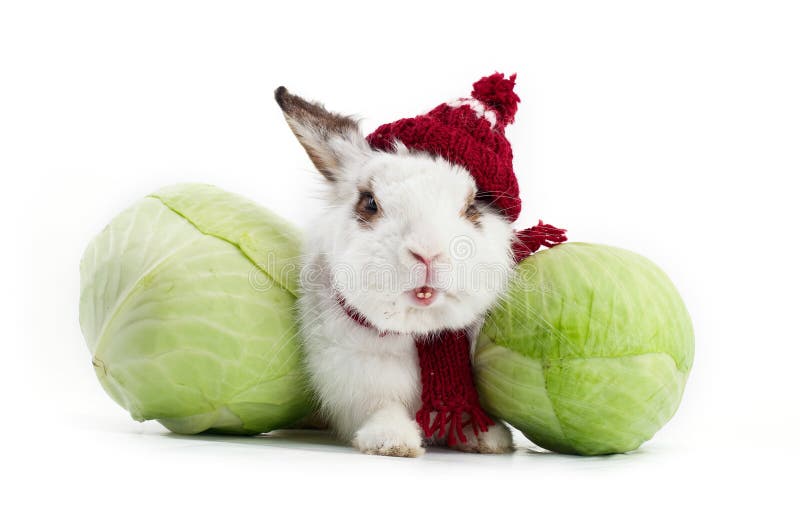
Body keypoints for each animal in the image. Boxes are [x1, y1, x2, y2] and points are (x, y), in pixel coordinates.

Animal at [275, 85, 516, 457]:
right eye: (370, 202)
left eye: (472, 206)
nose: (427, 251)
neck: (420, 331)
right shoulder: (357, 377)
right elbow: (383, 407)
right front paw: (392, 442)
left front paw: (490, 438)